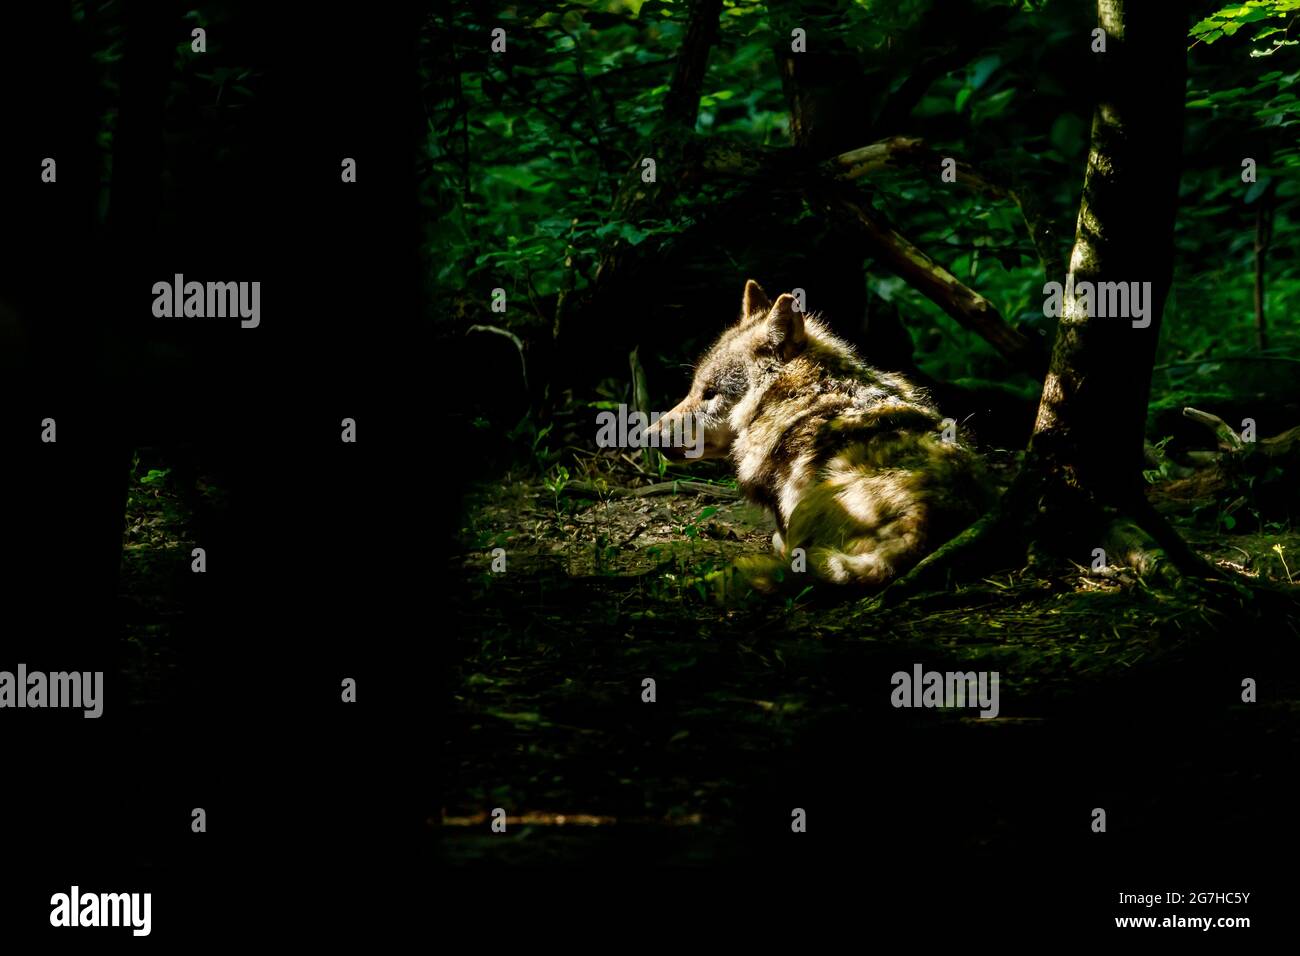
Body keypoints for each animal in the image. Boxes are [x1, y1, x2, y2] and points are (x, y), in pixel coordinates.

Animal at [648, 280, 992, 590]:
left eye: (710, 393)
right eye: (694, 389)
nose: (650, 435)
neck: (801, 395)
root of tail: (919, 522)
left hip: (811, 504)